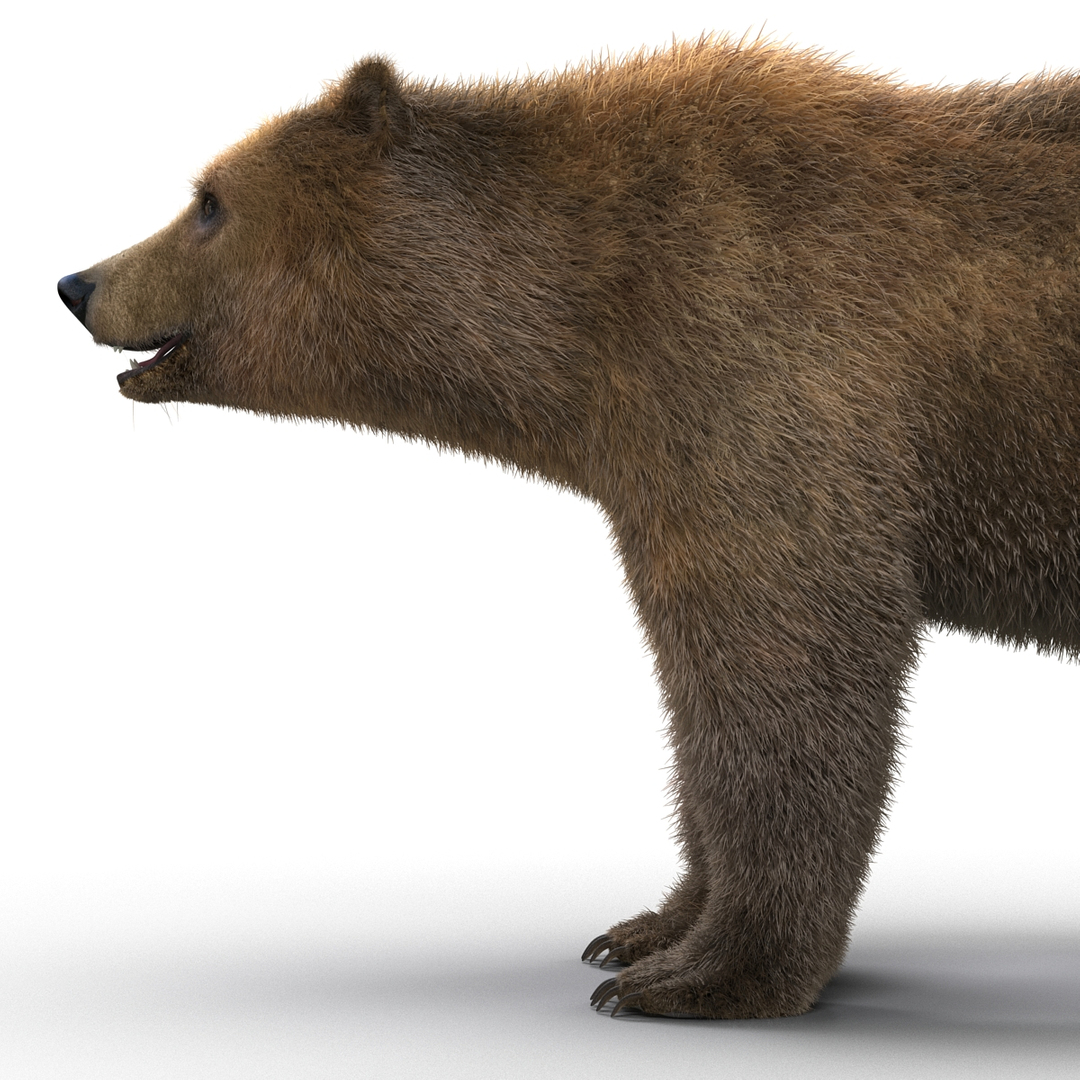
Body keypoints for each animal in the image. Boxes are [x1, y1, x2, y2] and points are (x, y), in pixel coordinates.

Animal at [57, 37, 1080, 1020]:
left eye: (208, 201)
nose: (78, 283)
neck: (586, 306)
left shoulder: (770, 377)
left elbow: (791, 674)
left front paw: (699, 977)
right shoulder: (657, 460)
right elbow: (698, 691)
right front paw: (643, 930)